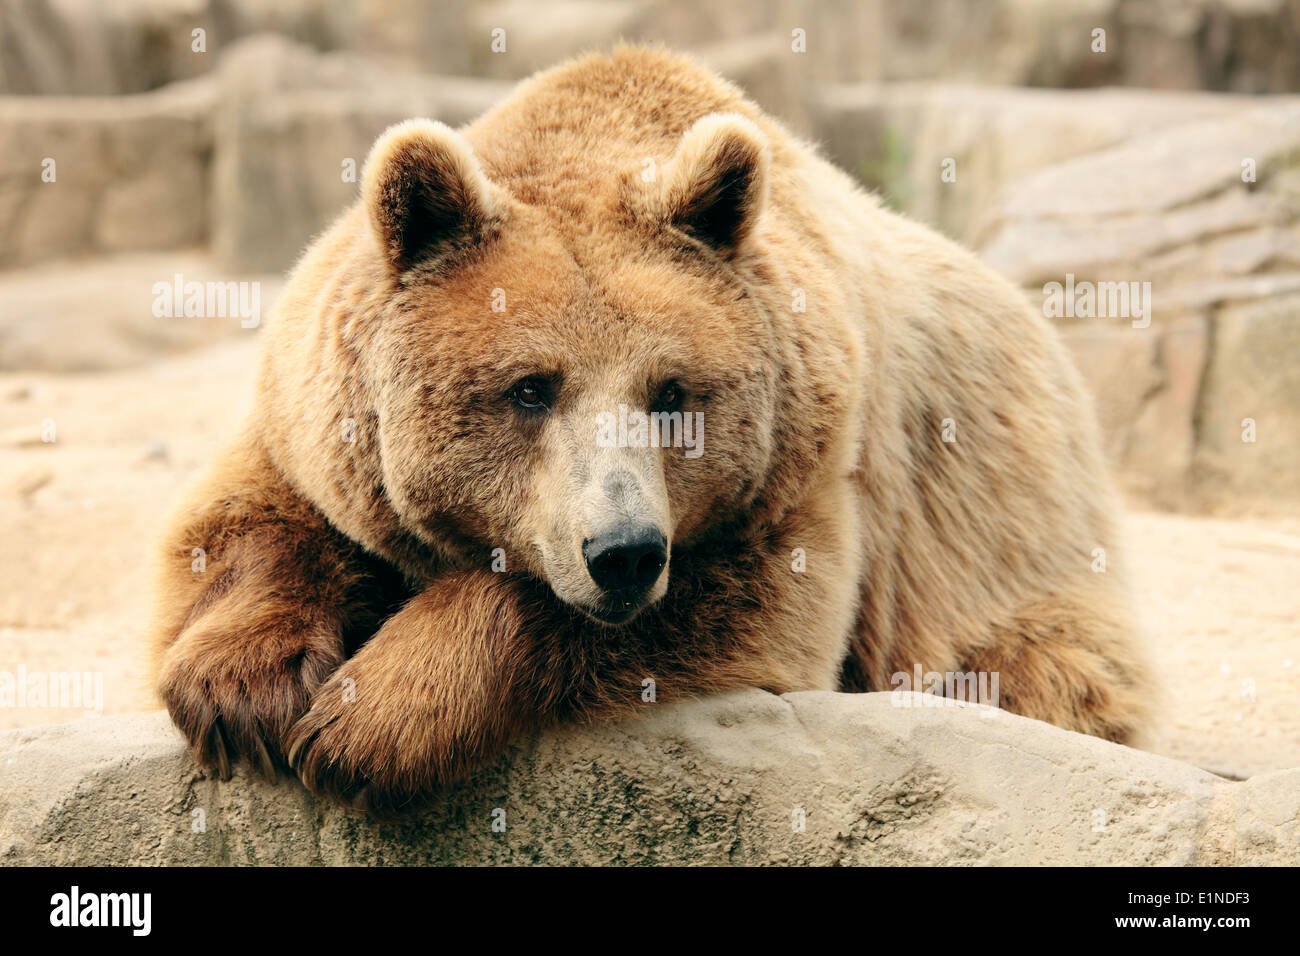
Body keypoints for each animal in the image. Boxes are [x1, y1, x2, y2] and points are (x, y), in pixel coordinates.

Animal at [150, 45, 1153, 813]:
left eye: (672, 392)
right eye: (529, 389)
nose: (623, 551)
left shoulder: (800, 483)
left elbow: (723, 614)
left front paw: (368, 721)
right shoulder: (317, 421)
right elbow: (245, 523)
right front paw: (243, 690)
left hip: (998, 531)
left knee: (1044, 668)